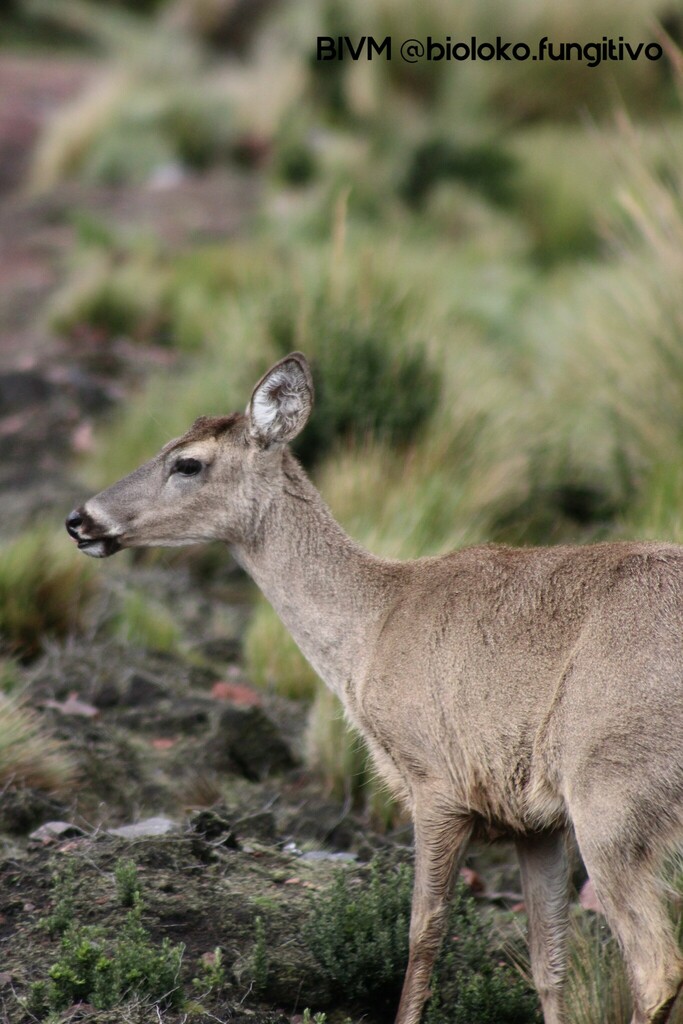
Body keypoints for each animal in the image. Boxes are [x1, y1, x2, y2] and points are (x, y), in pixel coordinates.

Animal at [65, 352, 683, 1024]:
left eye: (187, 462)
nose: (79, 520)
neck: (372, 628)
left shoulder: (436, 778)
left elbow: (423, 934)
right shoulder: (532, 819)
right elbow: (549, 964)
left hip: (612, 790)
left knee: (657, 966)